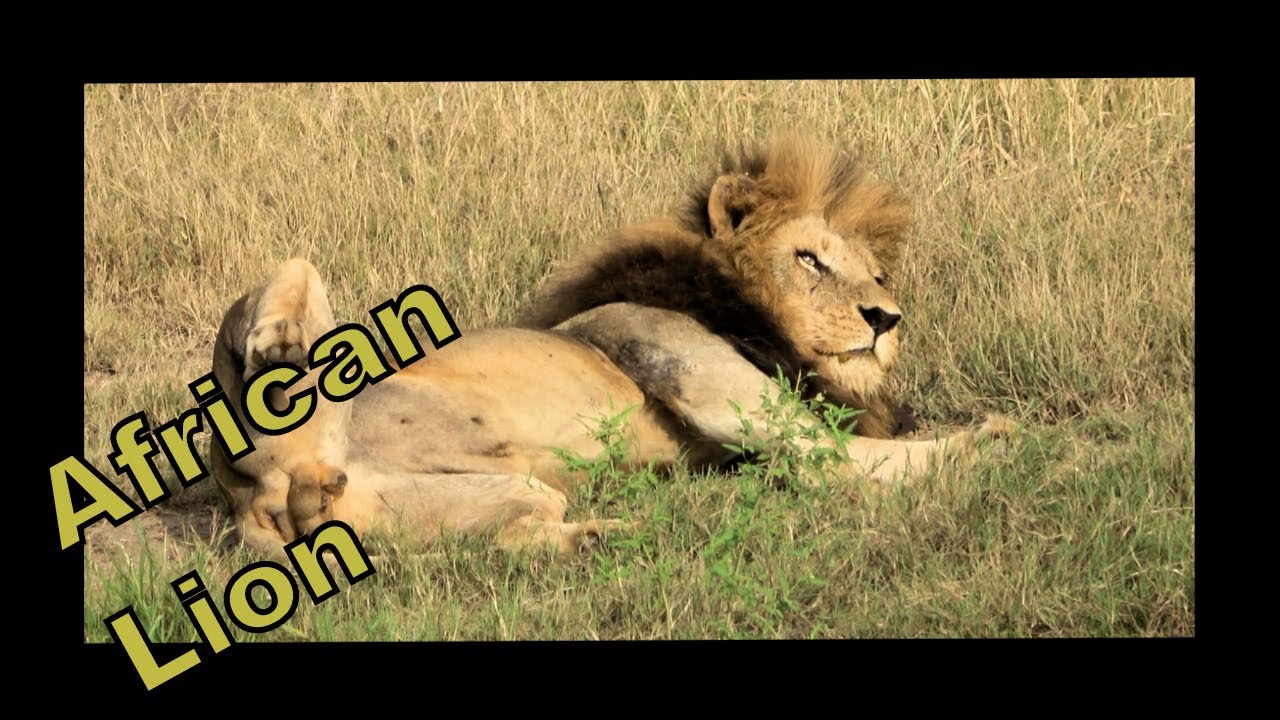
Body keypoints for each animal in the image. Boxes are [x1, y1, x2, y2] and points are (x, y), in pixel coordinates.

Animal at [209, 134, 1010, 558]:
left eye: (876, 274)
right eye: (810, 260)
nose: (886, 317)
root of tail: (261, 502)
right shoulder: (694, 372)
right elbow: (838, 456)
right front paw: (984, 439)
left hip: (485, 498)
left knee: (509, 538)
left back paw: (609, 536)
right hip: (287, 343)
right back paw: (282, 352)